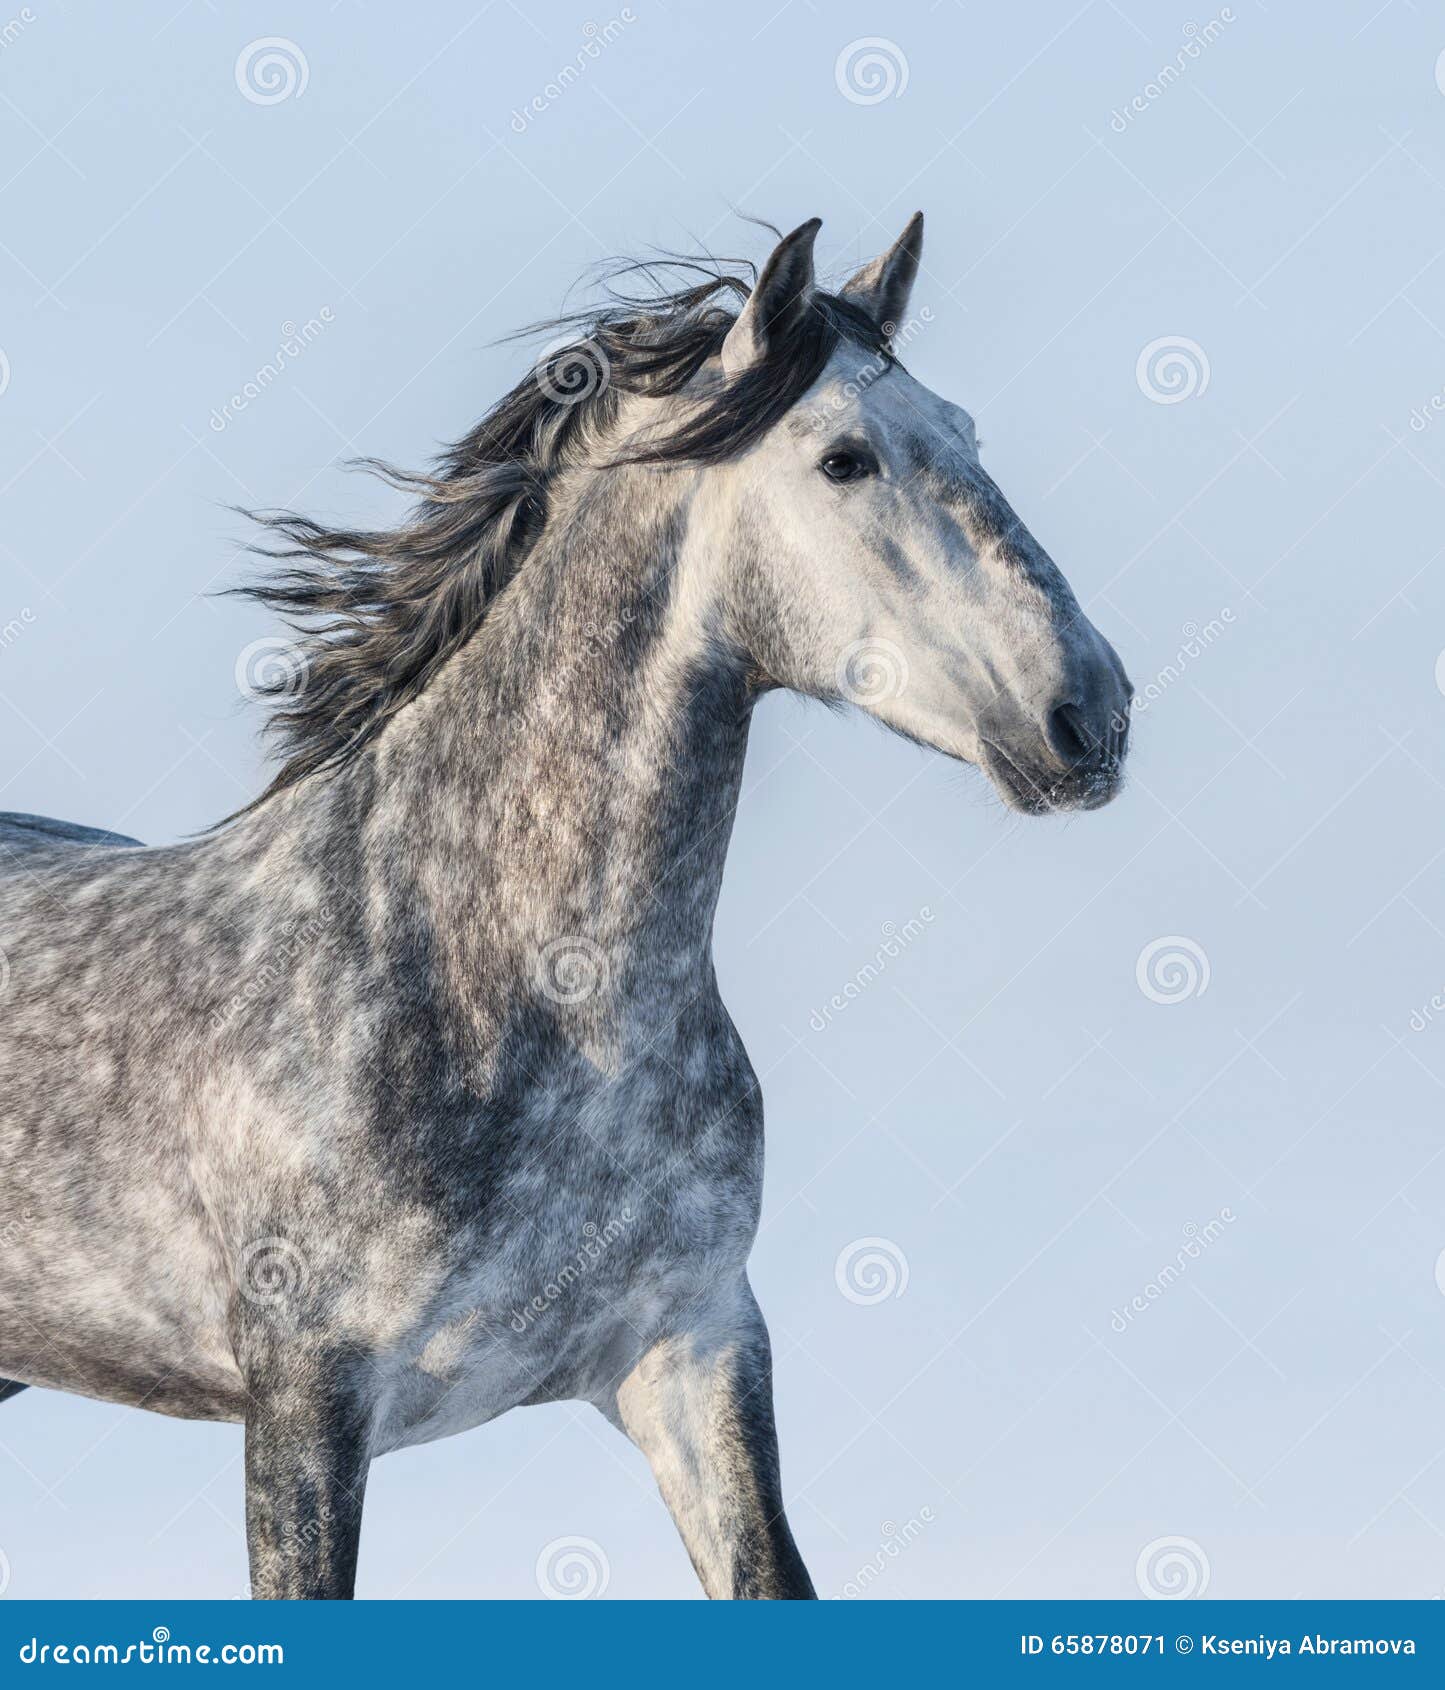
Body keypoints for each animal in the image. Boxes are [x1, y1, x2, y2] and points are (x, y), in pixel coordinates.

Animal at [0, 214, 1131, 1599]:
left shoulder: (692, 1348)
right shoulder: (305, 1405)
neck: (504, 992)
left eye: (965, 431)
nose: (1089, 715)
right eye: (843, 458)